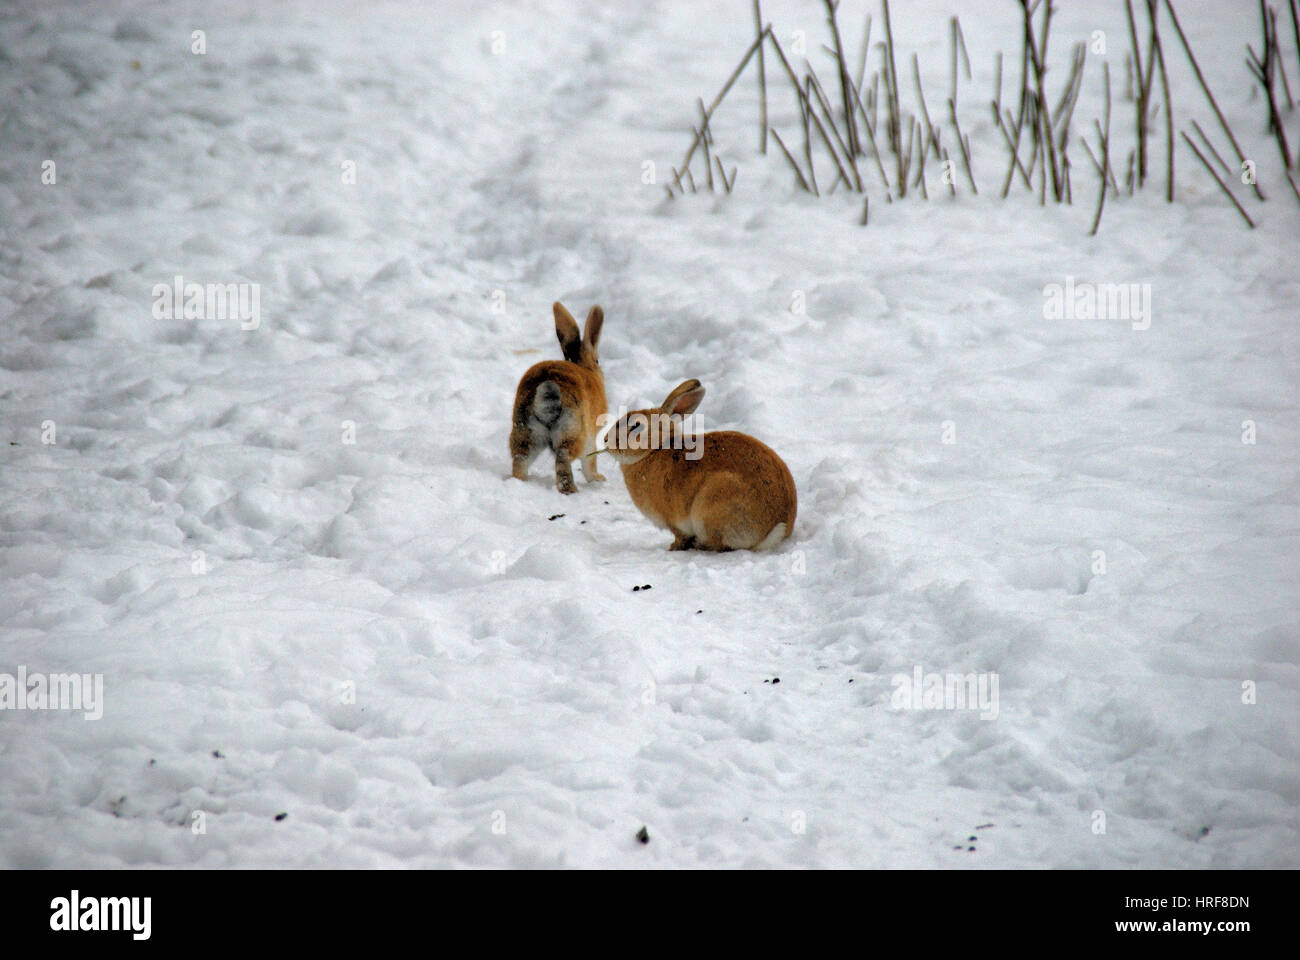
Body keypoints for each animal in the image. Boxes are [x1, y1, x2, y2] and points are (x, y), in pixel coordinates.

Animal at [510, 302, 607, 494]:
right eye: (597, 361)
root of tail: (546, 392)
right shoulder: (591, 438)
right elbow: (590, 462)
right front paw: (598, 479)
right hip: (572, 429)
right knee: (563, 459)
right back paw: (570, 490)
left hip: (526, 432)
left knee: (520, 459)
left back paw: (519, 481)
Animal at [602, 379, 796, 551]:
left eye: (636, 426)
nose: (605, 440)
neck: (655, 449)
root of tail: (776, 529)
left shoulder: (674, 521)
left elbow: (680, 536)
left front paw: (673, 547)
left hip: (713, 504)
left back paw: (700, 545)